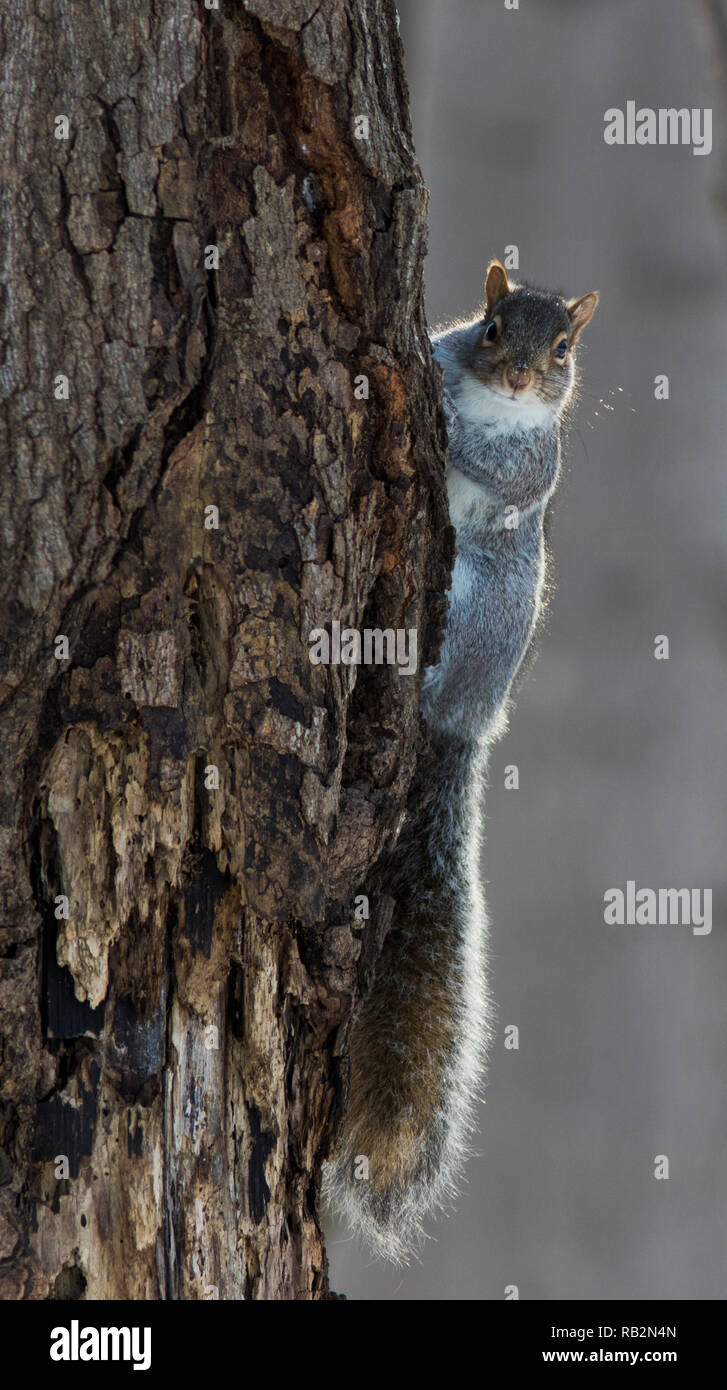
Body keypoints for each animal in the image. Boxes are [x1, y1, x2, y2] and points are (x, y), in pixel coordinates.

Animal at [324, 261, 598, 1262]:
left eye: (561, 349)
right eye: (488, 328)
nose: (518, 378)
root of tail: (465, 723)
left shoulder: (530, 464)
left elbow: (492, 463)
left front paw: (444, 423)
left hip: (483, 600)